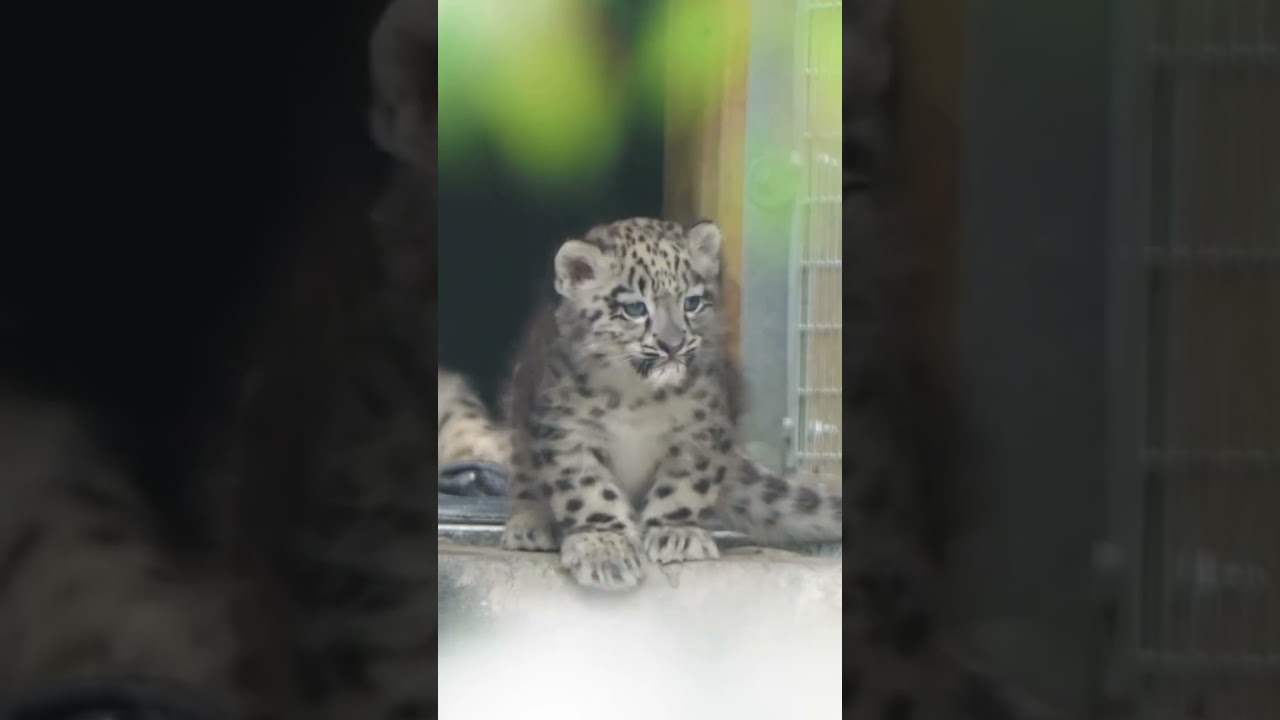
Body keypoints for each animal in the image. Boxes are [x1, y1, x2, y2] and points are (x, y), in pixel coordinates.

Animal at [498, 216, 843, 591]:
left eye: (691, 302)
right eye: (635, 308)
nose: (672, 344)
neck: (636, 397)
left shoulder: (701, 430)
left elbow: (685, 485)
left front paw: (676, 534)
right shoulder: (569, 431)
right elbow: (587, 489)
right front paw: (605, 547)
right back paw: (529, 524)